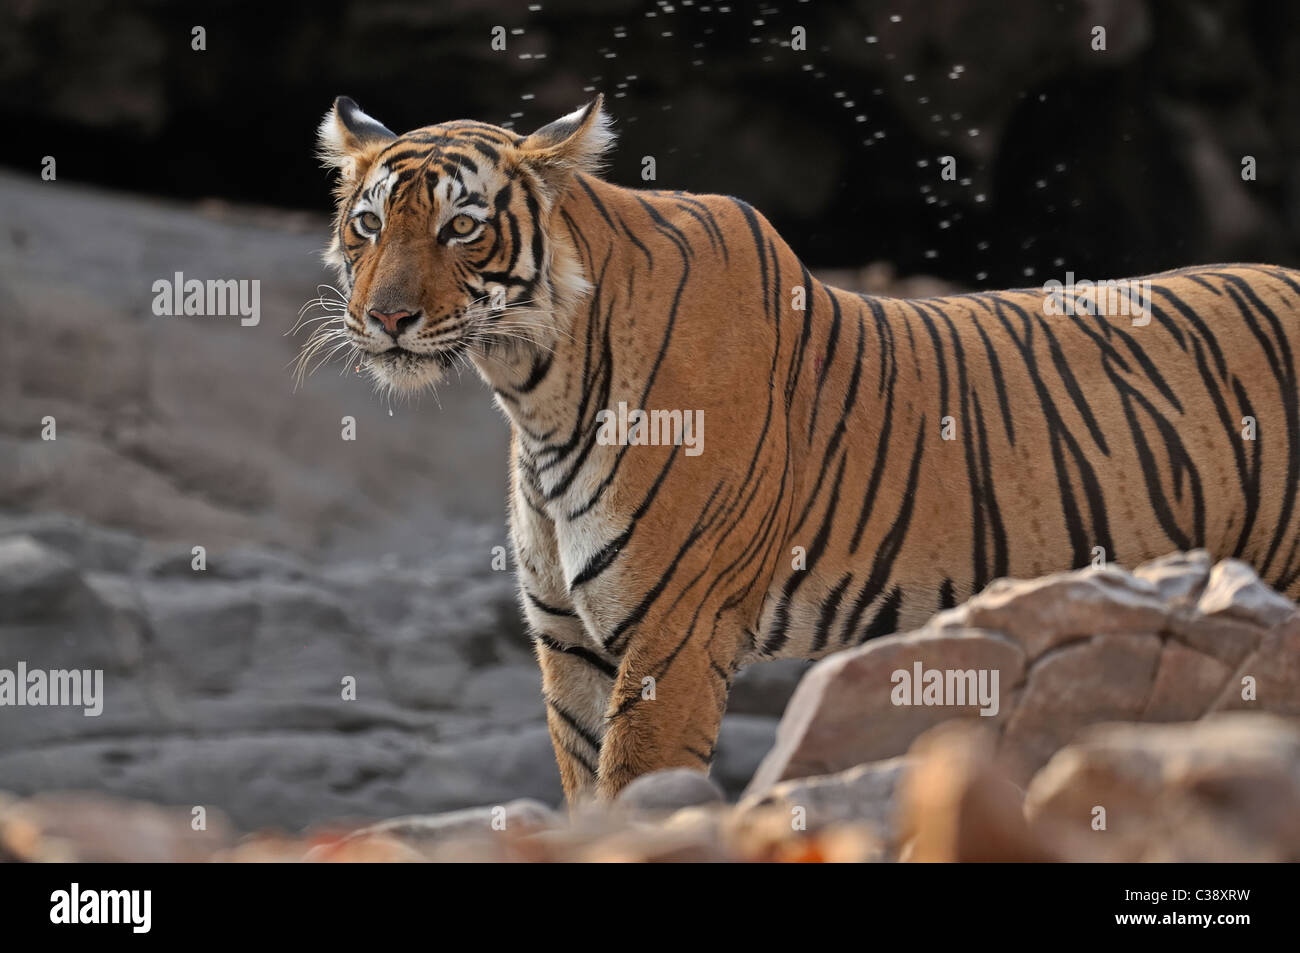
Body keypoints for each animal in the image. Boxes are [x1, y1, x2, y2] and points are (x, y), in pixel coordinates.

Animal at [313, 93, 1300, 805]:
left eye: (462, 227)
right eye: (369, 224)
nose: (386, 318)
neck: (533, 390)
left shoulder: (675, 634)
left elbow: (638, 790)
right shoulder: (571, 646)